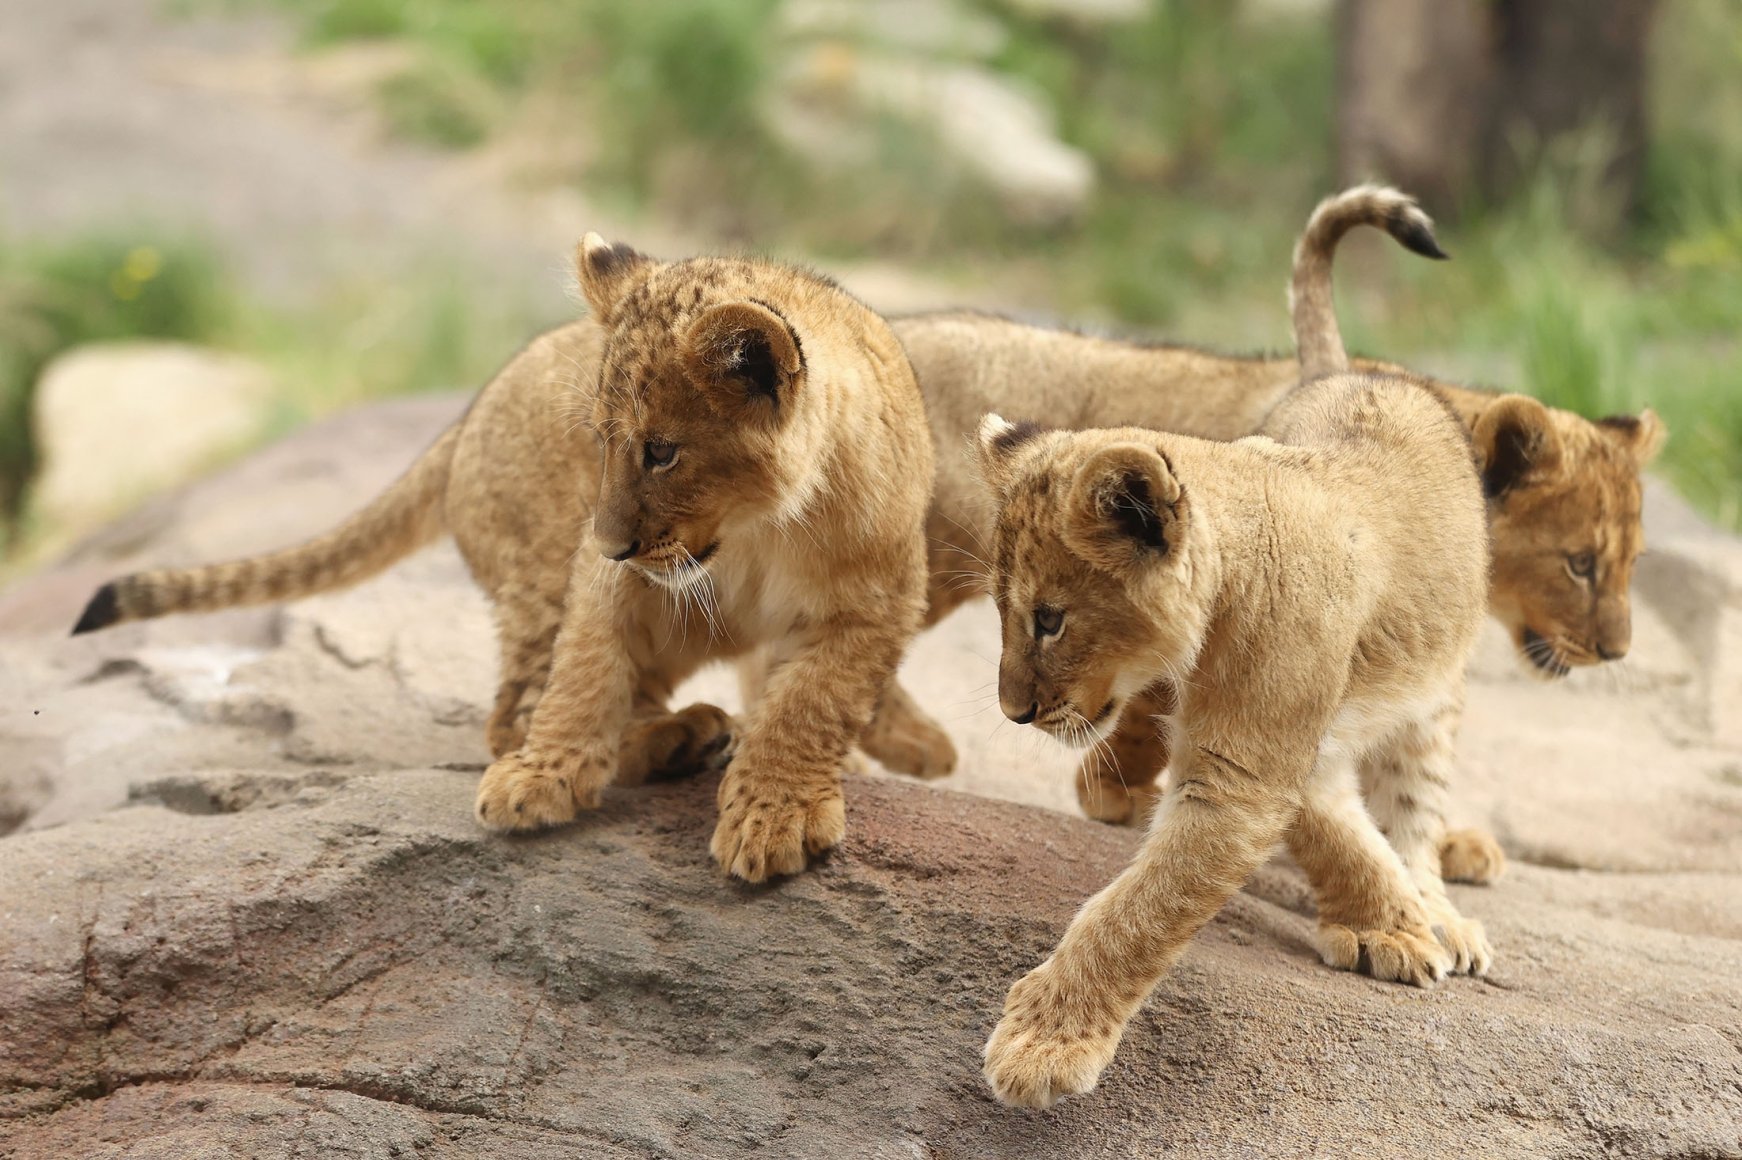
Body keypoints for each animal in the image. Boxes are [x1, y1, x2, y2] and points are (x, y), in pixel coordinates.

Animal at [71, 236, 935, 883]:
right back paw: (667, 740)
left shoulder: (875, 603)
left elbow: (808, 707)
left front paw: (773, 814)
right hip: (539, 580)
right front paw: (541, 777)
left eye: (661, 451)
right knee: (513, 712)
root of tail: (461, 420)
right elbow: (583, 674)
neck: (759, 529)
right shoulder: (609, 585)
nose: (612, 541)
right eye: (600, 441)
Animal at [872, 186, 1664, 882]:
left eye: (1630, 564)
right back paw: (903, 749)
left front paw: (1447, 846)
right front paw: (1115, 788)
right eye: (1581, 564)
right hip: (933, 552)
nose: (1616, 651)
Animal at [974, 300, 1496, 1109]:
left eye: (1050, 619)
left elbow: (1136, 910)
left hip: (1436, 691)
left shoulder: (1240, 780)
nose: (1013, 712)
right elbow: (1337, 832)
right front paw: (1388, 926)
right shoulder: (1283, 756)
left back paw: (1442, 908)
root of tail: (1358, 369)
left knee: (1416, 808)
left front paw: (1043, 1045)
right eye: (1001, 611)